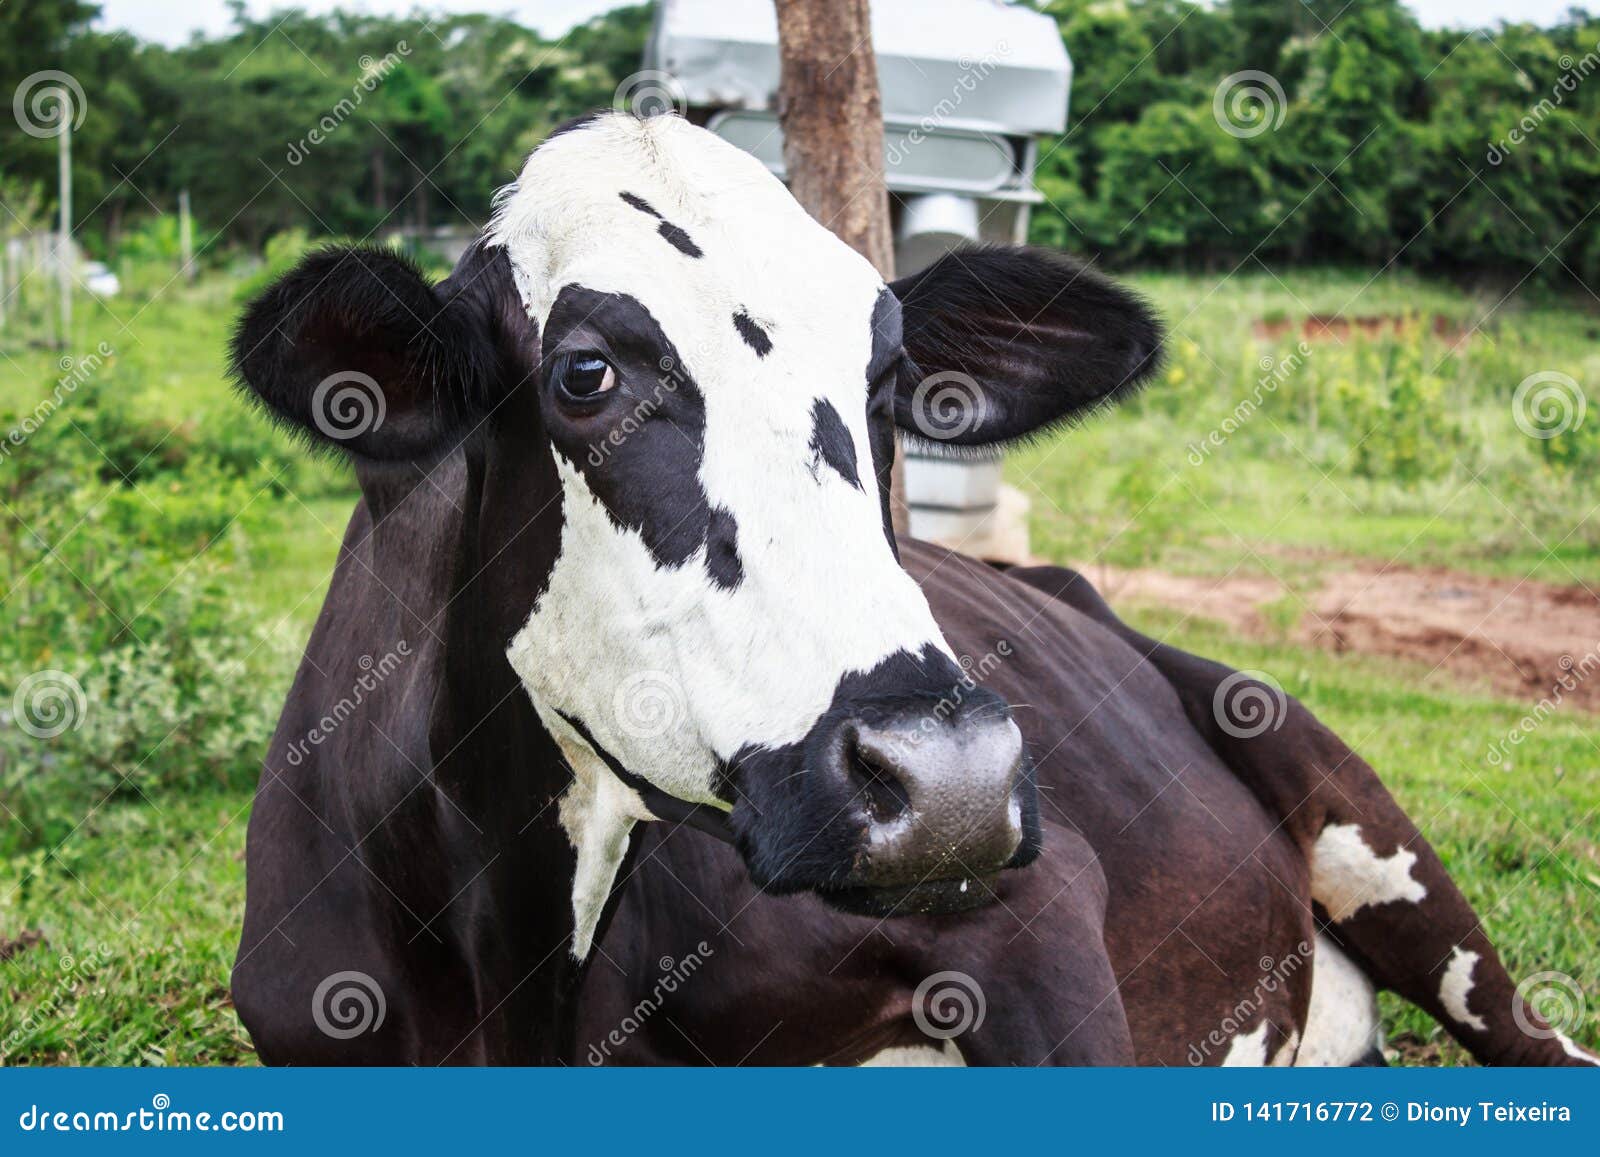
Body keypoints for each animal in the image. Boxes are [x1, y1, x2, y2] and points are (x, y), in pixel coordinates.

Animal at [229, 111, 1596, 1066]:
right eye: (585, 372)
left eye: (888, 380)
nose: (951, 780)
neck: (520, 970)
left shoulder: (1039, 910)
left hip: (1360, 816)